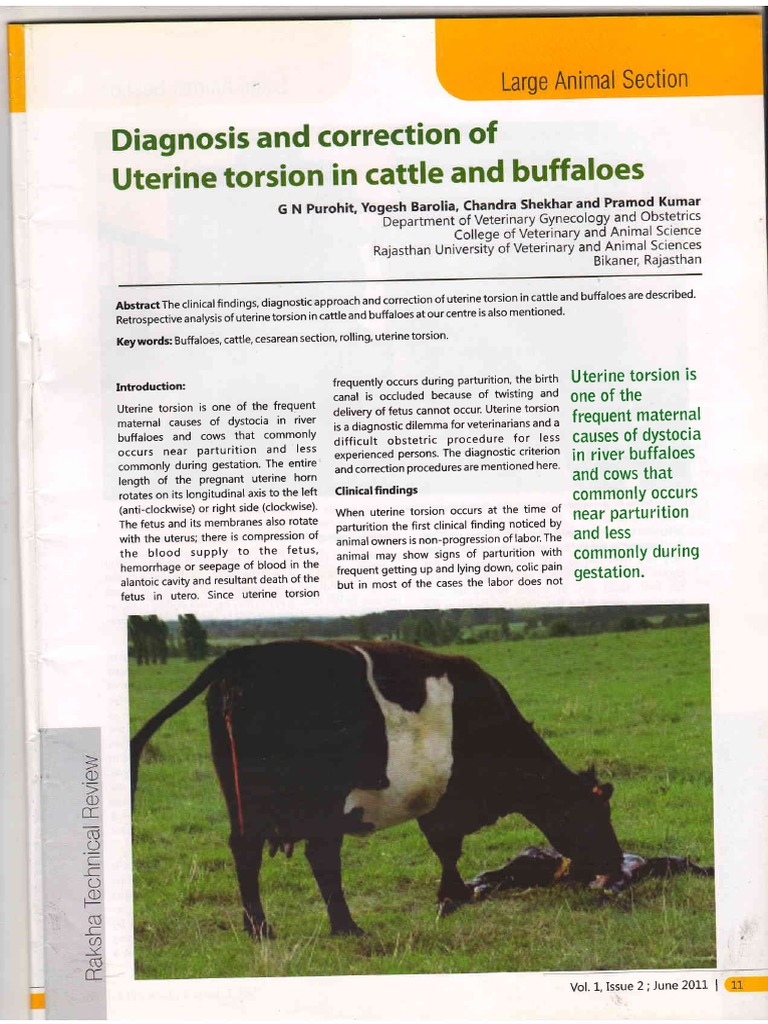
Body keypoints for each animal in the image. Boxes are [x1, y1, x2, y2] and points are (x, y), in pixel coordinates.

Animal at [131, 639, 623, 939]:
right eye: (595, 816)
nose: (617, 864)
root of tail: (241, 657)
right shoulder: (446, 800)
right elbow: (447, 848)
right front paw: (453, 896)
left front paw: (454, 895)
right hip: (316, 800)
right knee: (305, 856)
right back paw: (320, 927)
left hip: (249, 799)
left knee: (257, 853)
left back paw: (279, 929)